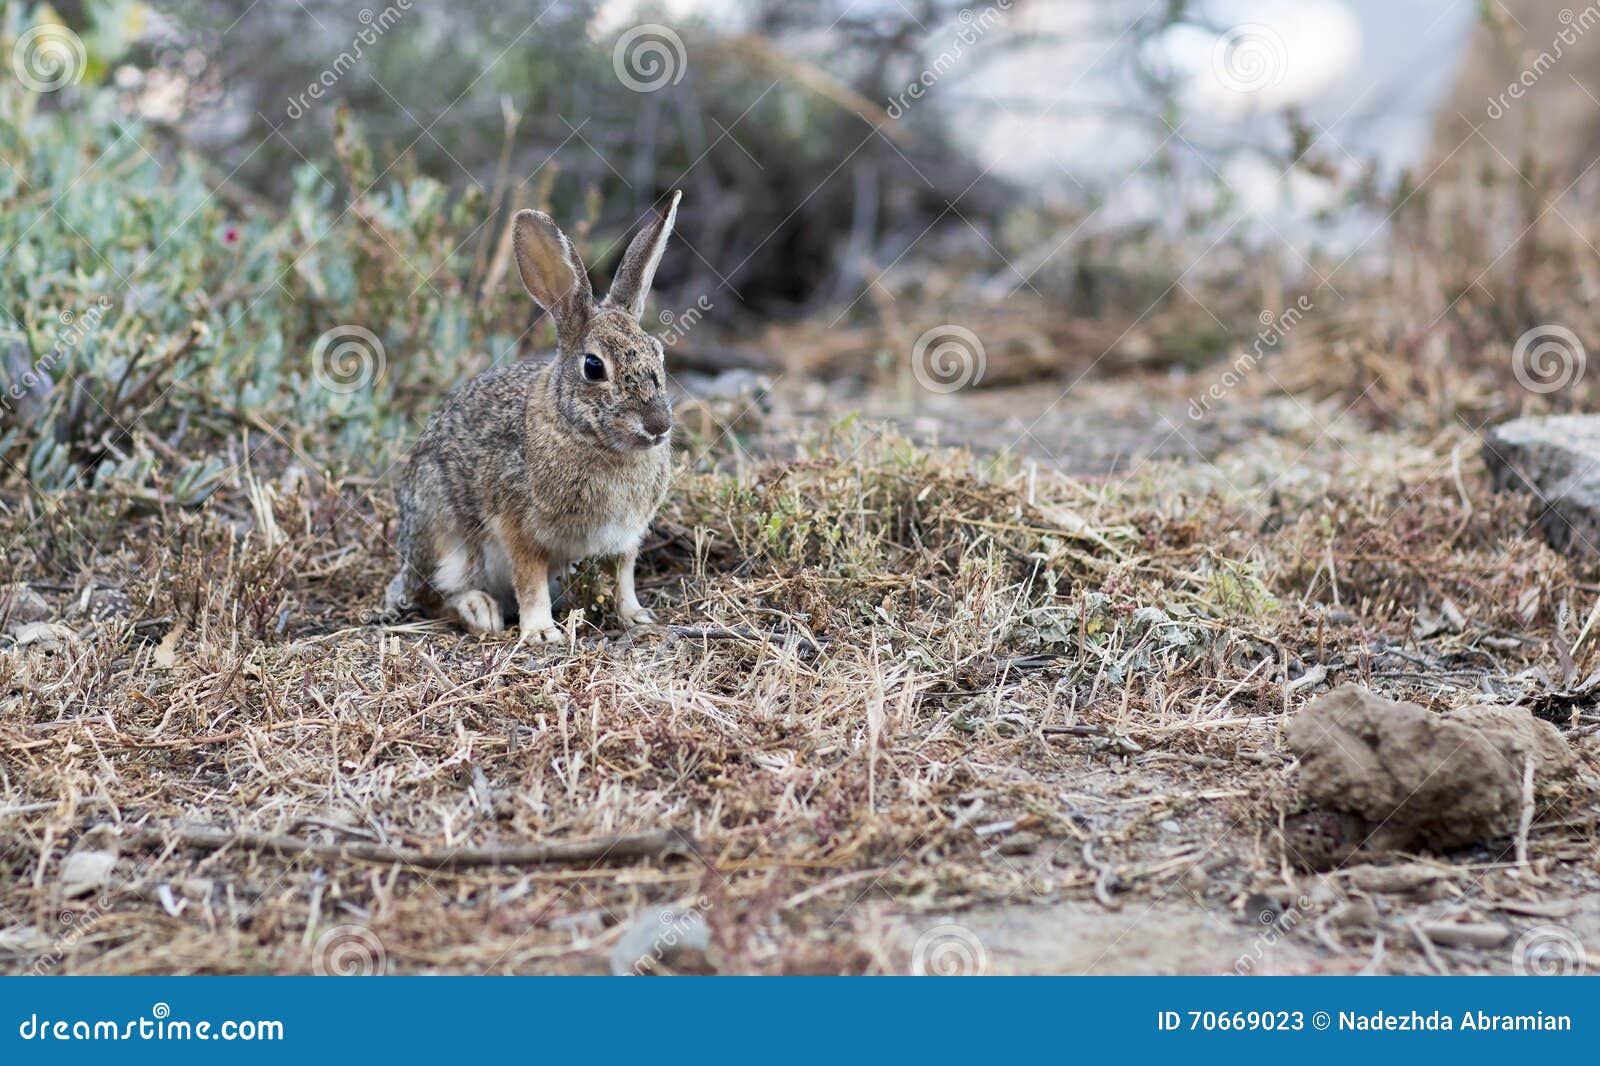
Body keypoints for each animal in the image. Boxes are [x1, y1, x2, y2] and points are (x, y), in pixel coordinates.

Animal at [385, 192, 682, 644]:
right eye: (594, 367)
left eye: (659, 355)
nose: (657, 425)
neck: (590, 440)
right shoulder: (517, 528)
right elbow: (530, 580)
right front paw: (541, 633)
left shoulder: (627, 535)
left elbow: (624, 576)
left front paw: (636, 616)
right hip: (443, 535)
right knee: (435, 595)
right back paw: (479, 611)